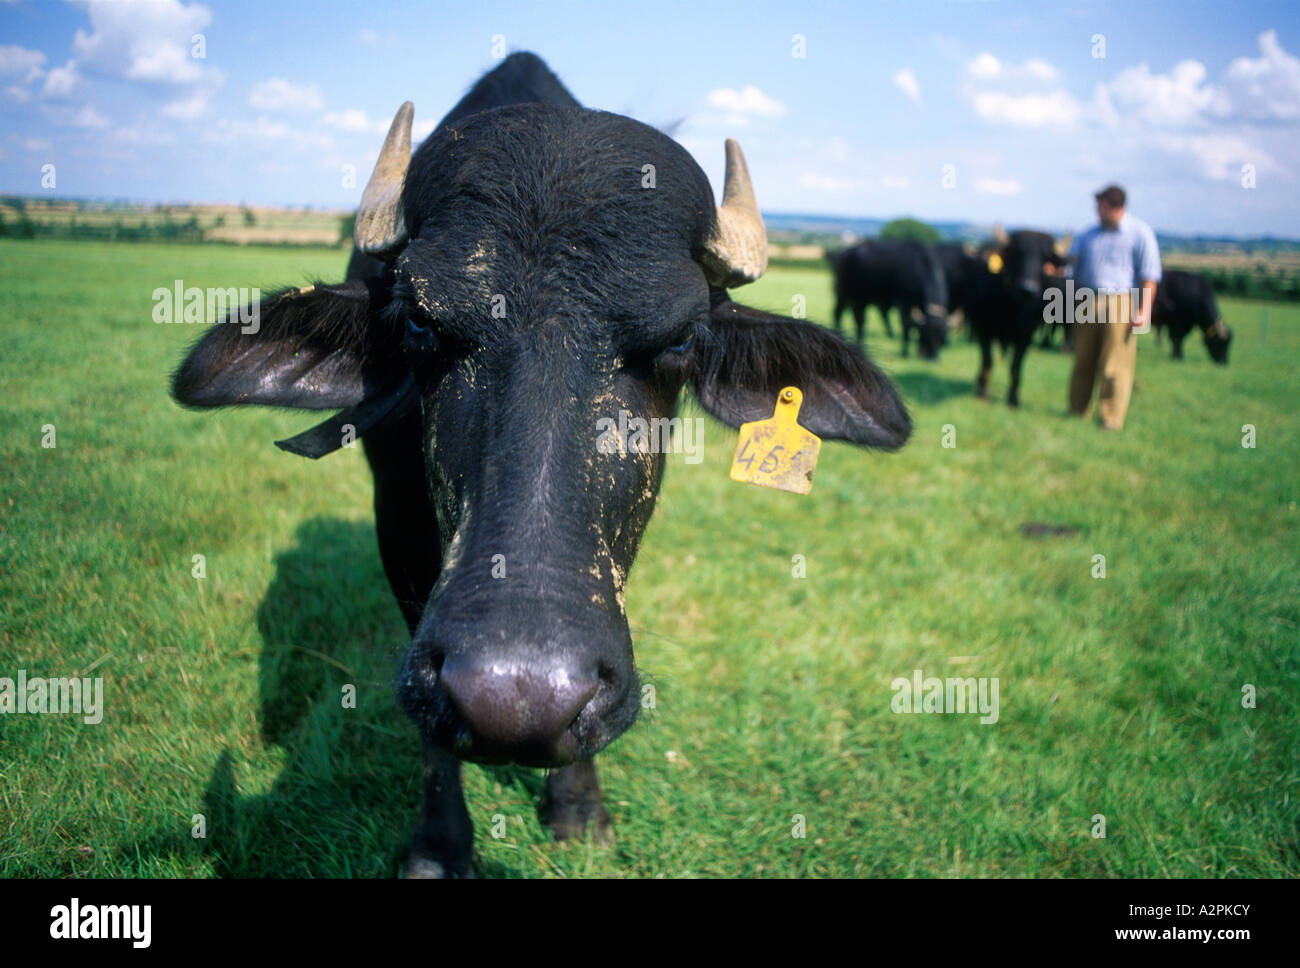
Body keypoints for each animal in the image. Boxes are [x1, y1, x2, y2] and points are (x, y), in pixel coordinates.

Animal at [170, 52, 911, 877]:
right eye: (418, 320)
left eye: (683, 339)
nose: (518, 693)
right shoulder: (399, 528)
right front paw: (439, 843)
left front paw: (579, 806)